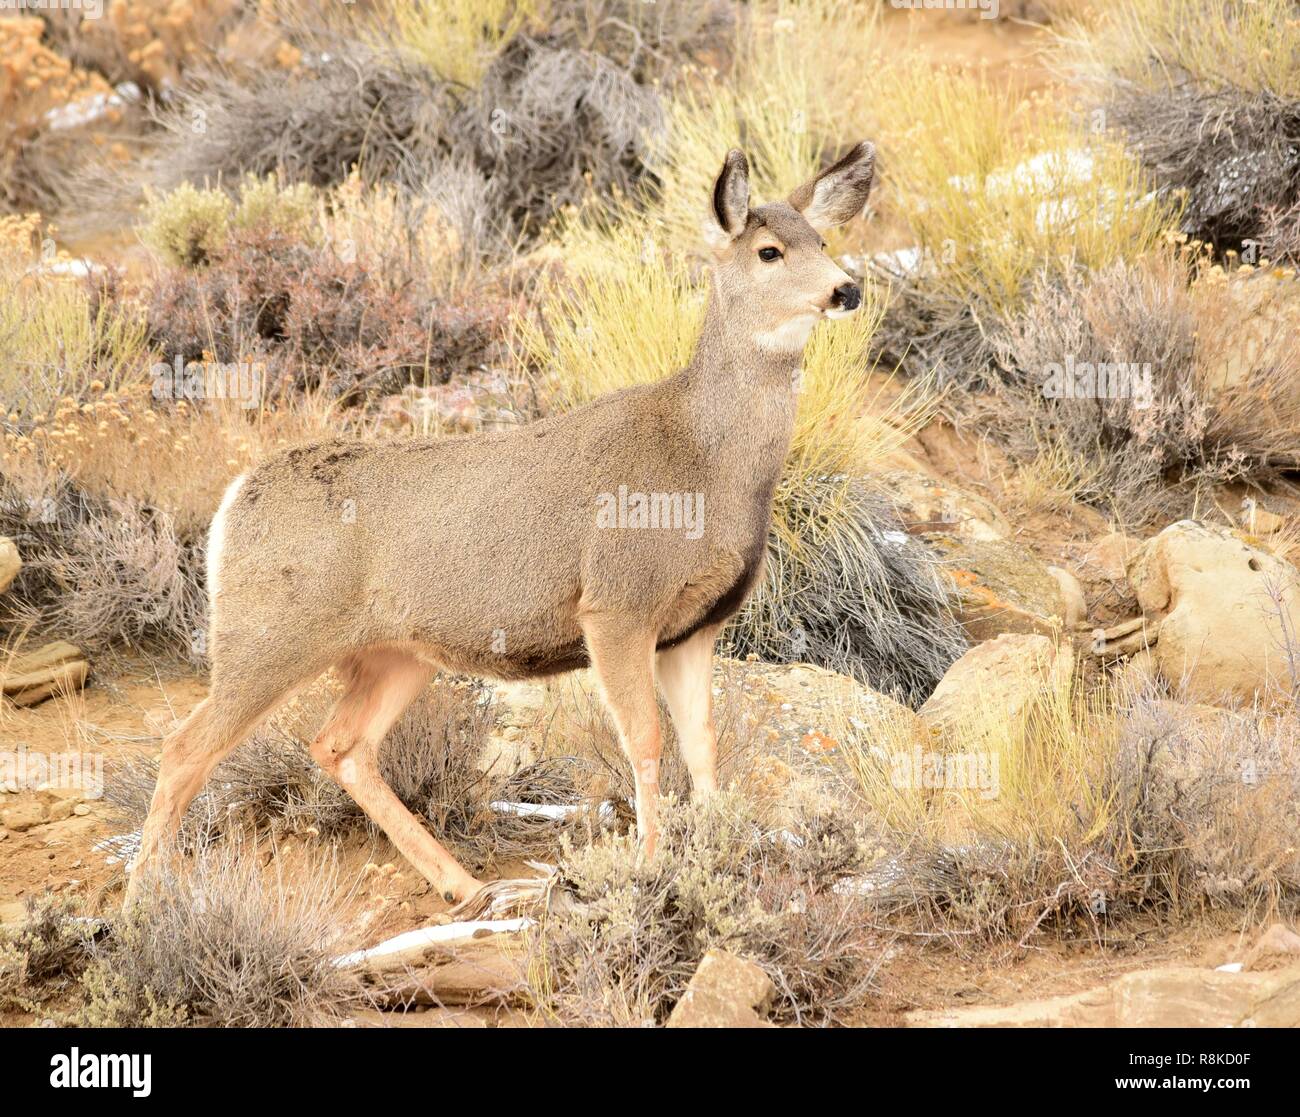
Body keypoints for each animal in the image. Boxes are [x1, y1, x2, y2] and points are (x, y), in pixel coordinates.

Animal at [125, 141, 877, 911]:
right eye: (768, 250)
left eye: (824, 242)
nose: (847, 290)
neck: (704, 460)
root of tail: (231, 503)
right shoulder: (616, 603)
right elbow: (645, 743)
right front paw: (648, 873)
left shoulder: (694, 626)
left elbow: (703, 747)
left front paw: (720, 863)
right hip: (270, 632)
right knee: (185, 748)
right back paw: (139, 906)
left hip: (397, 651)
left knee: (340, 745)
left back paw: (462, 883)